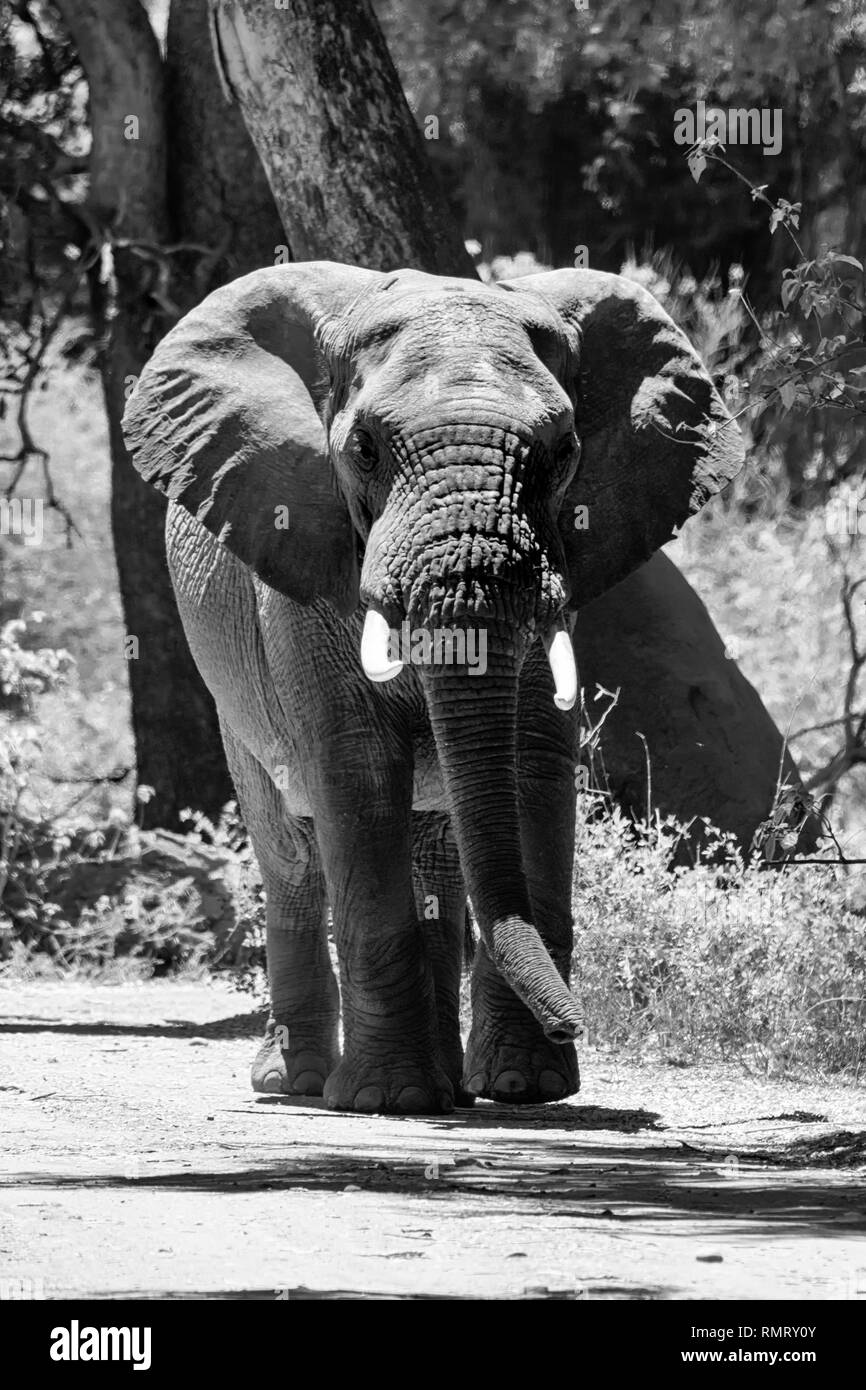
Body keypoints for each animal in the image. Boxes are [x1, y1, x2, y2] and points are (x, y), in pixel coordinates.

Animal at [122, 260, 744, 1115]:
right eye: (364, 449)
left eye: (563, 451)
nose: (578, 1023)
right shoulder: (300, 559)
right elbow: (354, 765)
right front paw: (387, 1099)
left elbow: (530, 764)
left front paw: (525, 1088)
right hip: (233, 693)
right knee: (291, 856)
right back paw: (299, 1082)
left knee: (440, 858)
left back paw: (449, 1084)